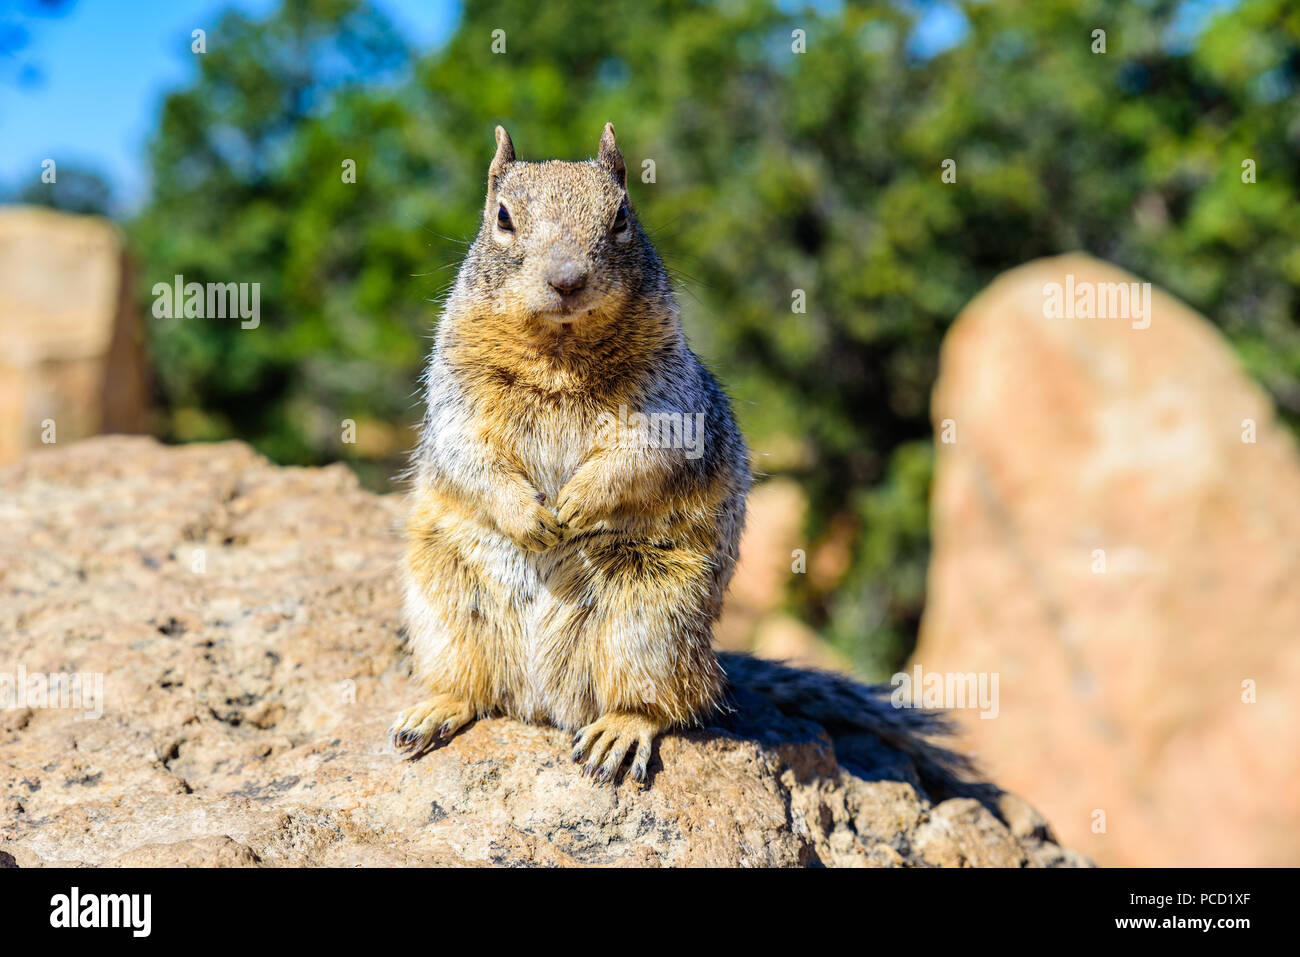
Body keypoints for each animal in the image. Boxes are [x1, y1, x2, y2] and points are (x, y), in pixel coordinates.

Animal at [389, 123, 972, 793]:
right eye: (502, 217)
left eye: (622, 216)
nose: (567, 279)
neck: (558, 351)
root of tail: (542, 703)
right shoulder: (455, 396)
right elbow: (468, 454)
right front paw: (531, 516)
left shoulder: (672, 406)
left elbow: (643, 454)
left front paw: (576, 503)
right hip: (442, 603)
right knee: (476, 689)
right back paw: (435, 709)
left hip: (652, 617)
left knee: (670, 702)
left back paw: (618, 731)